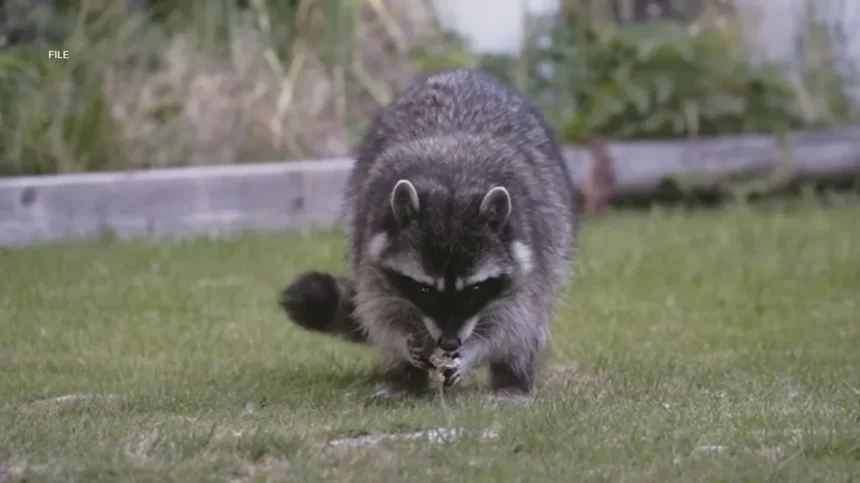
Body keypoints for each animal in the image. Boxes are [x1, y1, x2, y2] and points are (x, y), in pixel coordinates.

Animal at [279, 68, 579, 400]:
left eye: (475, 289)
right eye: (424, 289)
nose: (449, 343)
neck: (452, 184)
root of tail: (461, 73)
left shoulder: (529, 253)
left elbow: (513, 320)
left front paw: (475, 350)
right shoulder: (369, 241)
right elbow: (380, 310)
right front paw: (403, 345)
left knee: (530, 326)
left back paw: (512, 379)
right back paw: (403, 380)